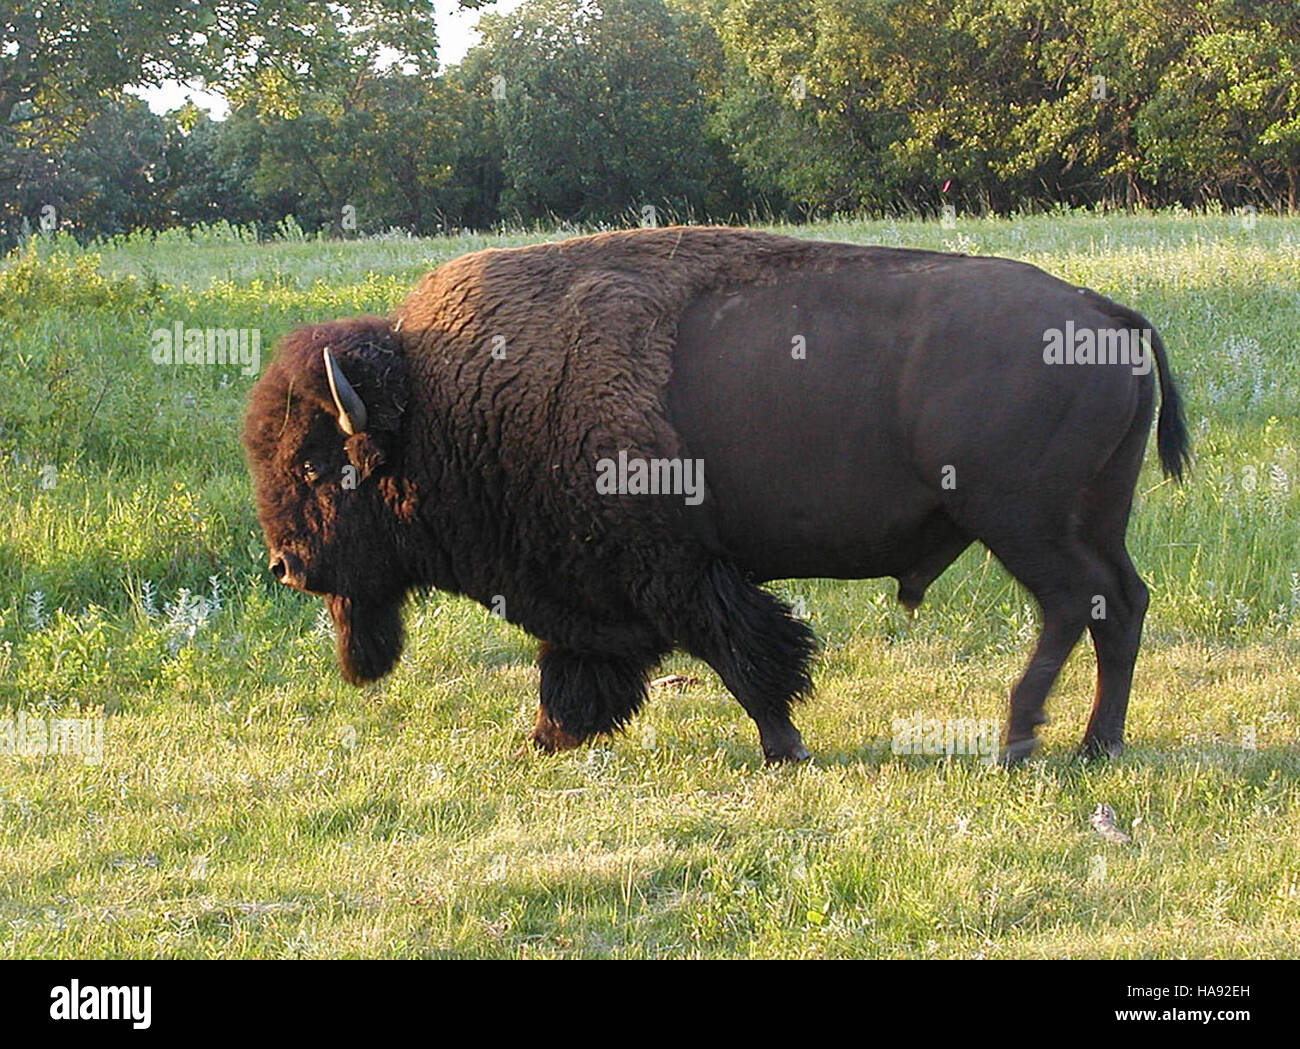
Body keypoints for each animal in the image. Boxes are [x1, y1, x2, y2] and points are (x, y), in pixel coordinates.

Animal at [242, 227, 1188, 764]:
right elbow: (583, 663)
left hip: (1022, 524)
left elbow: (744, 653)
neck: (446, 400)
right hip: (1092, 519)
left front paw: (785, 747)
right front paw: (549, 737)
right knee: (1122, 605)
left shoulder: (678, 570)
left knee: (1075, 606)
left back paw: (1020, 739)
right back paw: (1096, 745)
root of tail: (1109, 313)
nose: (286, 565)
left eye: (318, 466)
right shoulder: (592, 593)